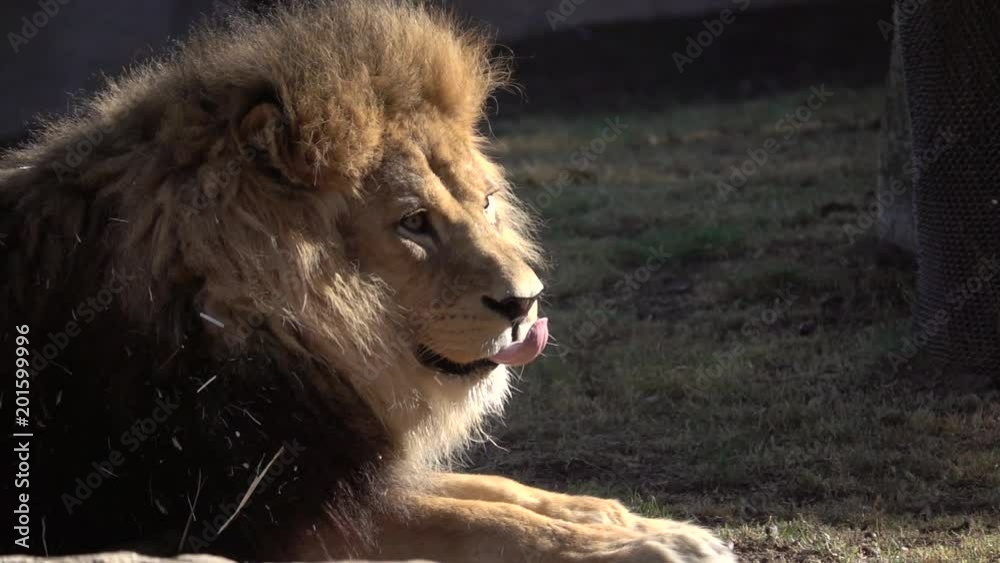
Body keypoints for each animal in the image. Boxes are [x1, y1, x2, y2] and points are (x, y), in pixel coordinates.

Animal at [0, 1, 734, 562]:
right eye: (414, 223)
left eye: (486, 202)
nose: (526, 304)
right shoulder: (254, 509)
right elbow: (473, 518)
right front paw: (650, 545)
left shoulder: (340, 465)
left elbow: (496, 489)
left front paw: (625, 517)